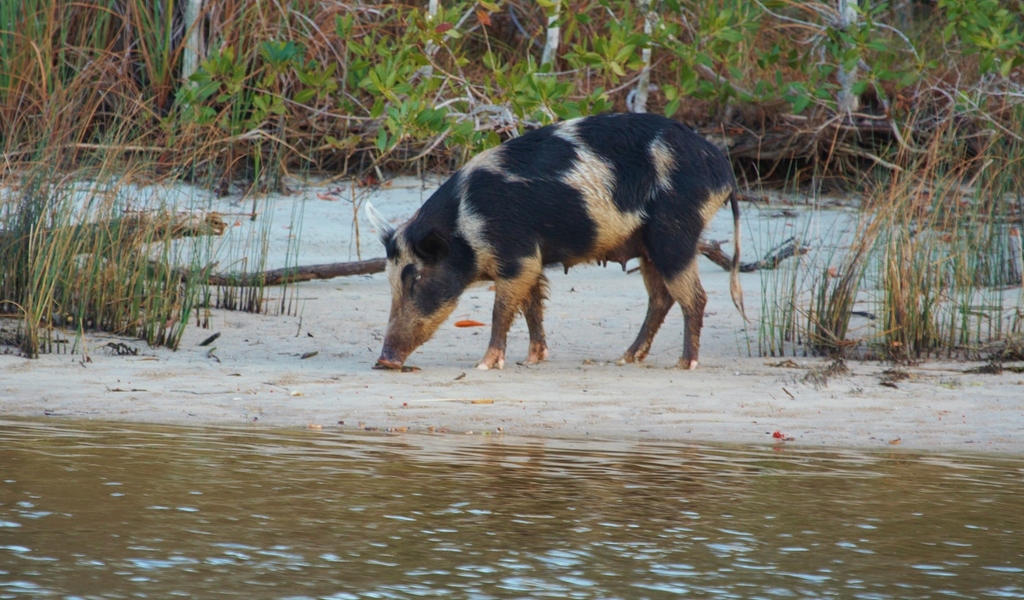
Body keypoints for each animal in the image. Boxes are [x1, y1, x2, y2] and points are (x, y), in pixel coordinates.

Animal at [367, 112, 744, 371]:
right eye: (390, 280)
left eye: (415, 278)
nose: (385, 360)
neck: (467, 221)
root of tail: (724, 171)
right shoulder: (531, 259)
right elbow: (532, 305)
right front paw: (533, 359)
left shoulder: (518, 254)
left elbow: (501, 310)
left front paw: (485, 365)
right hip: (647, 245)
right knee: (661, 298)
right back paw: (626, 358)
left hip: (675, 233)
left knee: (695, 297)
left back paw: (685, 363)